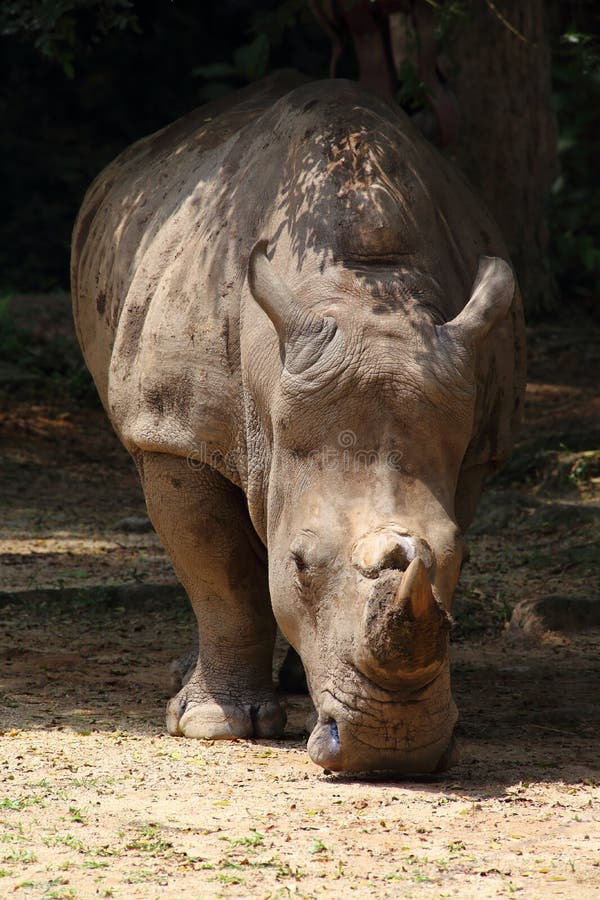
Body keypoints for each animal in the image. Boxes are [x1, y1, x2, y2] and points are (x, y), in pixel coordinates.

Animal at [71, 71, 525, 774]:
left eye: (463, 556)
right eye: (301, 562)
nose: (393, 751)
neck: (361, 290)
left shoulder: (474, 440)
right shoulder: (174, 434)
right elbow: (220, 571)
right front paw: (215, 726)